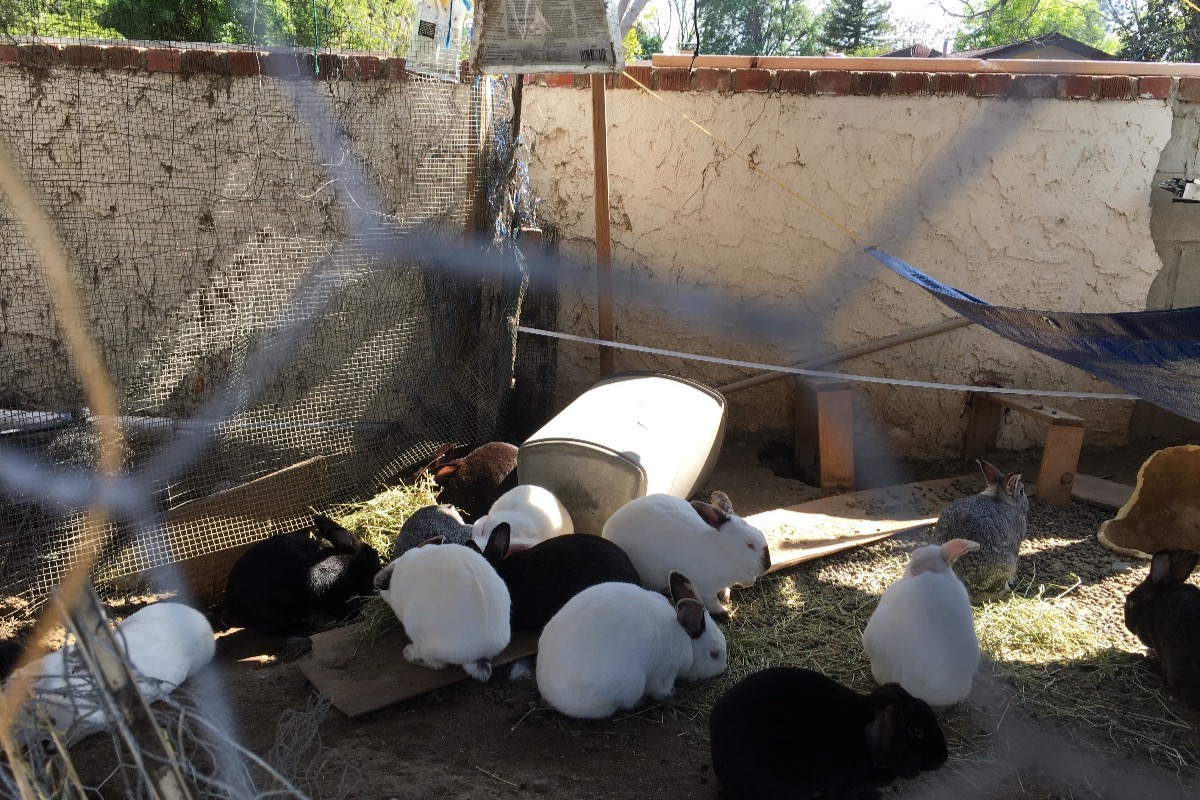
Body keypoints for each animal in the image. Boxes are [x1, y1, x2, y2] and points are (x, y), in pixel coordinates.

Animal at [222, 513, 381, 636]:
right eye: (372, 556)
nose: (378, 571)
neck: (348, 563)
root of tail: (230, 611)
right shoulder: (331, 598)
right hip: (271, 616)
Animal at [536, 571, 727, 719]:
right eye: (714, 654)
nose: (724, 669)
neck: (685, 639)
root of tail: (547, 691)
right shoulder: (664, 673)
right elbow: (662, 691)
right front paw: (679, 696)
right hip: (631, 684)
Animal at [601, 490, 771, 617]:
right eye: (750, 545)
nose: (768, 565)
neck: (725, 552)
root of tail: (606, 527)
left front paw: (727, 597)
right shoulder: (706, 591)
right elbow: (713, 604)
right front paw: (725, 614)